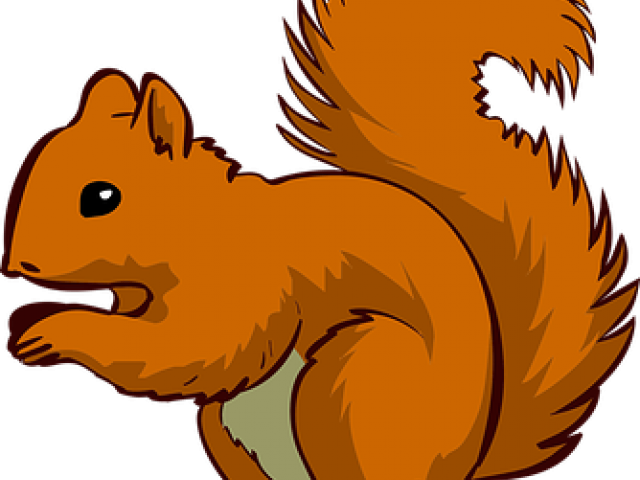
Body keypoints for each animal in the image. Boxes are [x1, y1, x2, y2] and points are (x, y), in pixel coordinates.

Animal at [2, 0, 637, 479]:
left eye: (102, 197)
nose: (19, 266)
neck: (203, 223)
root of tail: (462, 463)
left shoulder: (245, 285)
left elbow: (191, 349)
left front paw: (51, 330)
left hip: (352, 384)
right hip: (230, 432)